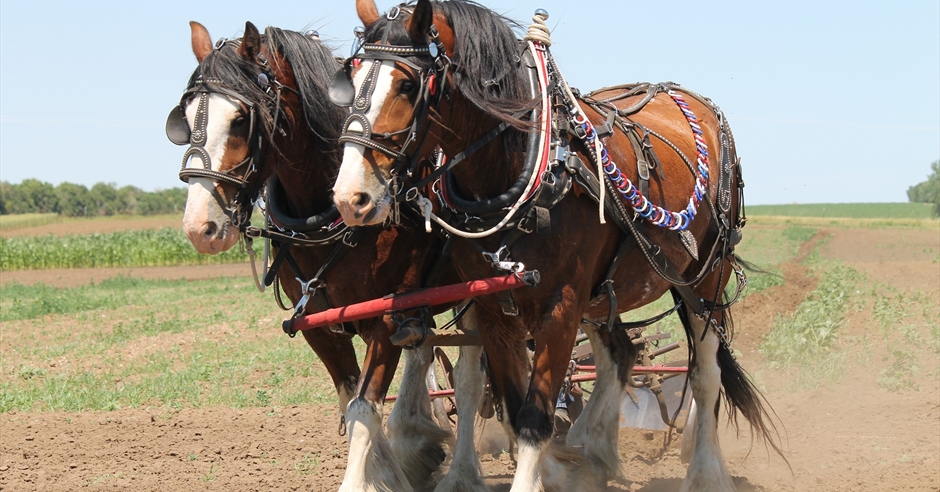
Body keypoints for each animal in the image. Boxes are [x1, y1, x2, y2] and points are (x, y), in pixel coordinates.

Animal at [168, 21, 489, 491]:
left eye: (241, 120)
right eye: (185, 118)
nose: (199, 227)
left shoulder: (386, 318)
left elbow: (362, 410)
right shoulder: (319, 327)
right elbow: (349, 402)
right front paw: (391, 470)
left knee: (468, 381)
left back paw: (463, 471)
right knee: (425, 353)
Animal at [330, 1, 782, 490]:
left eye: (409, 85)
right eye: (351, 78)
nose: (350, 198)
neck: (524, 170)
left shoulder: (561, 308)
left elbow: (535, 419)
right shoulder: (494, 311)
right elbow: (514, 409)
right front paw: (568, 465)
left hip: (704, 282)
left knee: (704, 375)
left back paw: (705, 471)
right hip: (606, 295)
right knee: (619, 356)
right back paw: (593, 452)